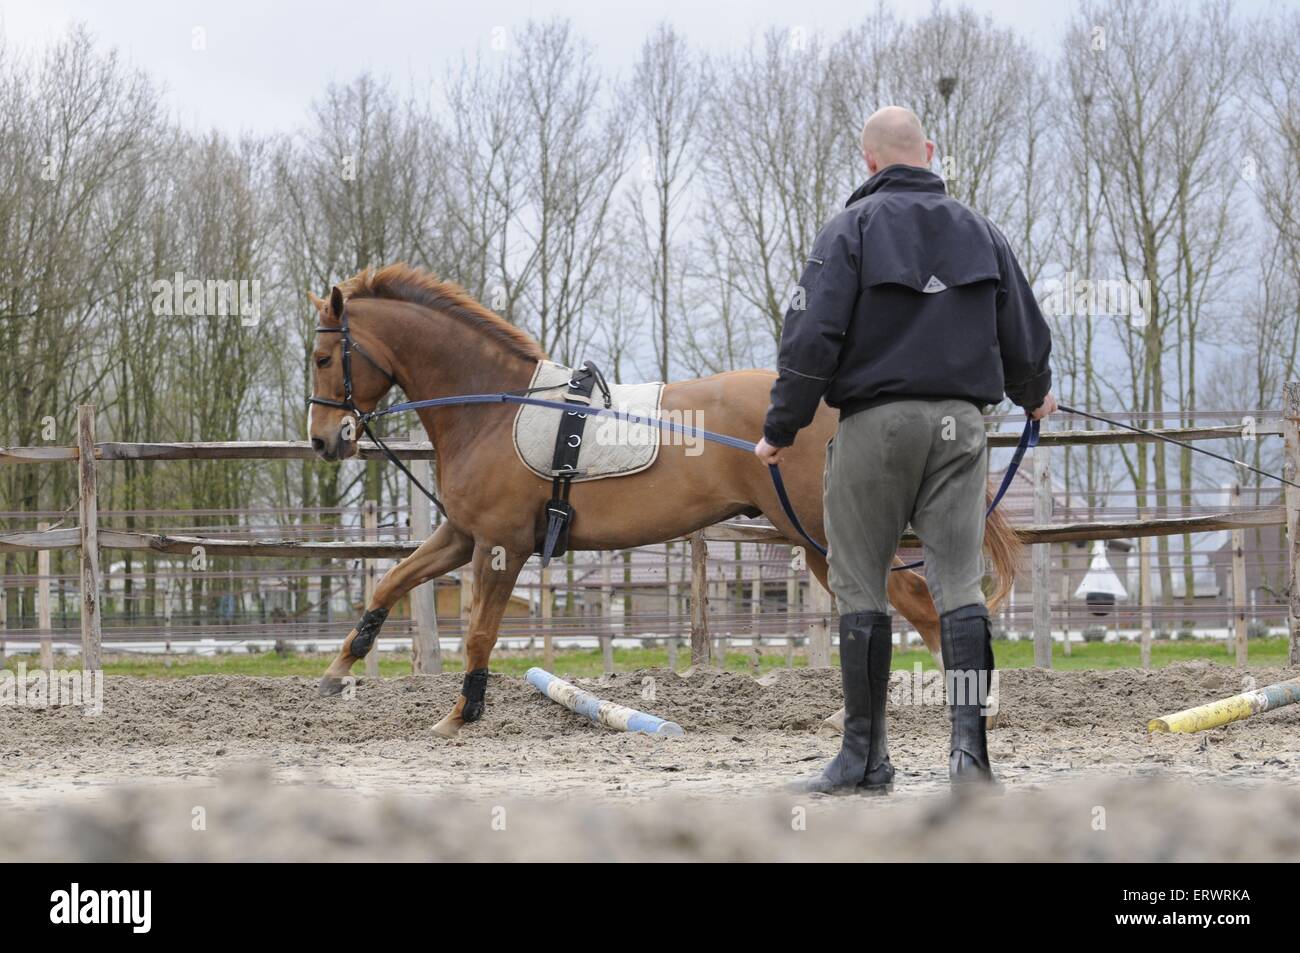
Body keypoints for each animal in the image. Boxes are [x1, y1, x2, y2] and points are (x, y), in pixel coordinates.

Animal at [306, 264, 1020, 737]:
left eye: (321, 358)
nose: (323, 441)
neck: (491, 406)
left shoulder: (501, 545)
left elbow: (479, 632)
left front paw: (460, 715)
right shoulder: (462, 534)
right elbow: (389, 583)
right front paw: (338, 672)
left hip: (821, 536)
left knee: (919, 607)